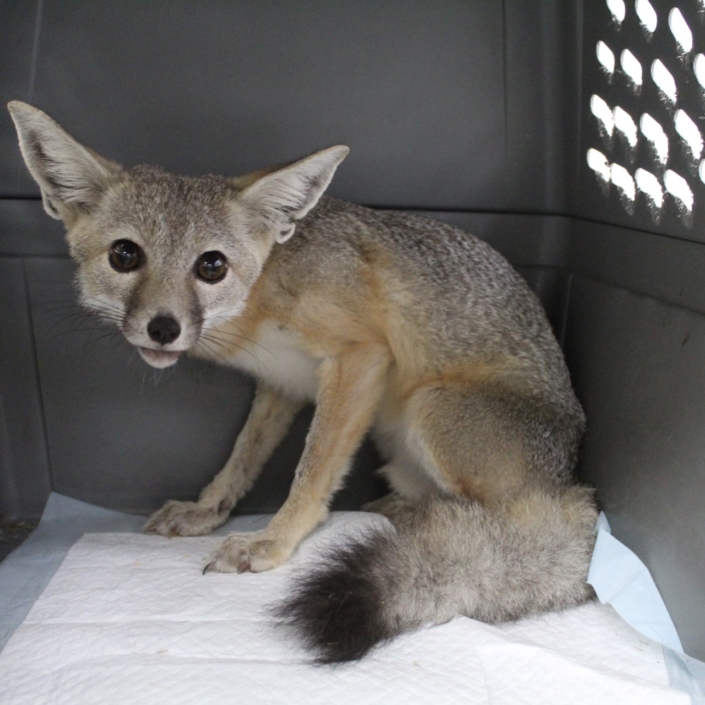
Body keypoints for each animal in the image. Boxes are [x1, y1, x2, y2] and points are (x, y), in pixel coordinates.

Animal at [9, 100, 597, 663]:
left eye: (211, 266)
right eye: (125, 255)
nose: (163, 327)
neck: (264, 288)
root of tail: (570, 484)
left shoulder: (360, 356)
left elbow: (312, 472)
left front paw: (273, 540)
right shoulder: (283, 383)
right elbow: (241, 460)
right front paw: (207, 511)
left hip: (430, 408)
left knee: (500, 526)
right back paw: (402, 513)